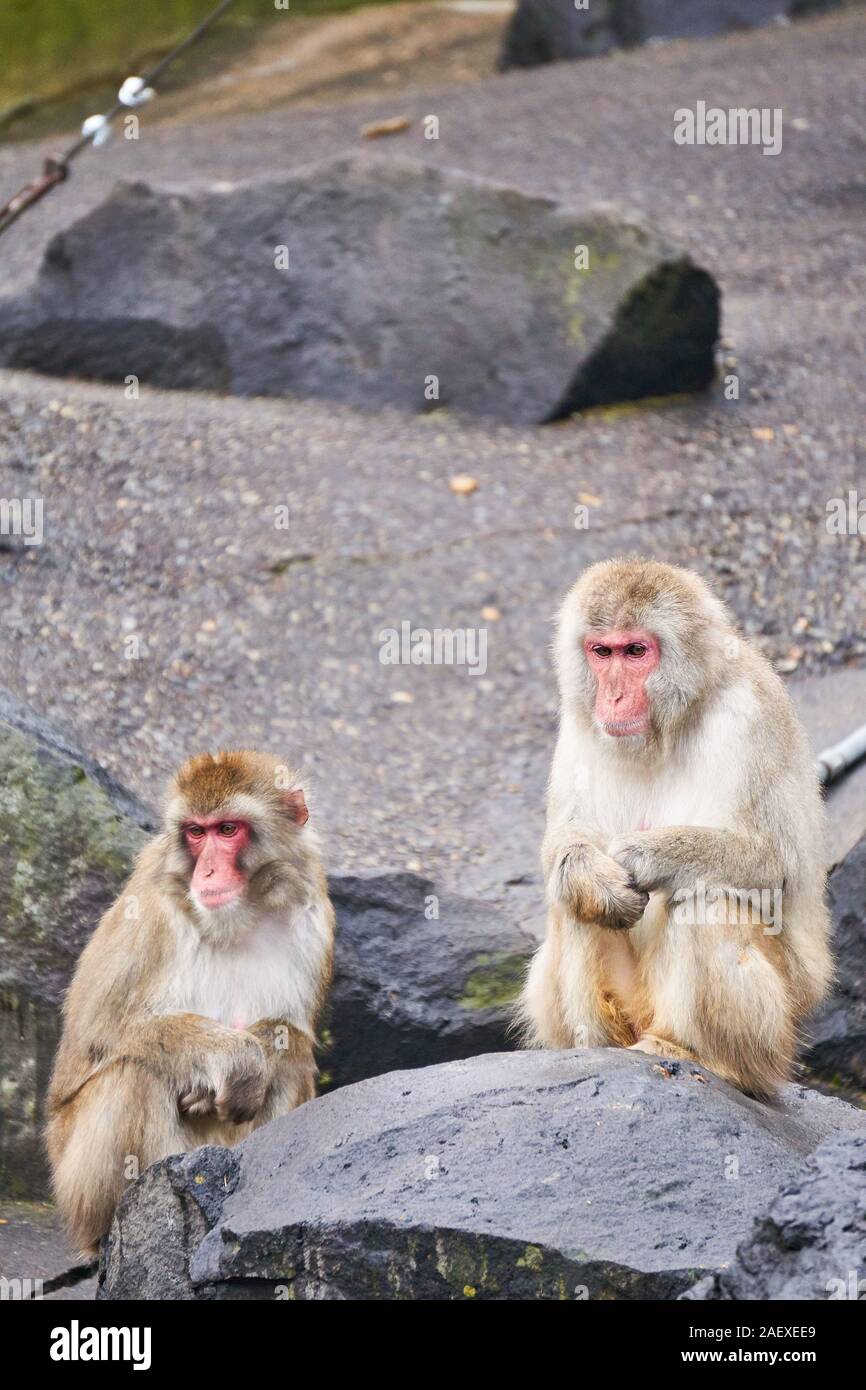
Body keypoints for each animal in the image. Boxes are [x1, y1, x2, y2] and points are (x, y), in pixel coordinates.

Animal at [45, 750, 334, 1257]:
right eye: (196, 833)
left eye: (228, 829)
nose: (208, 872)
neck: (239, 915)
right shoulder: (149, 913)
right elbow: (101, 1036)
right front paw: (236, 1058)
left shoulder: (312, 918)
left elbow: (289, 1032)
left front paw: (261, 1048)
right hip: (75, 1181)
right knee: (136, 1071)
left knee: (293, 1060)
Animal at [517, 557, 833, 1100]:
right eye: (601, 651)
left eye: (636, 651)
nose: (613, 695)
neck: (670, 725)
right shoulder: (580, 721)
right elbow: (567, 840)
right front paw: (593, 876)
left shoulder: (751, 712)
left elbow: (778, 867)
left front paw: (649, 855)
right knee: (570, 904)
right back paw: (596, 1045)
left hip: (774, 1026)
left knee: (706, 898)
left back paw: (693, 1053)